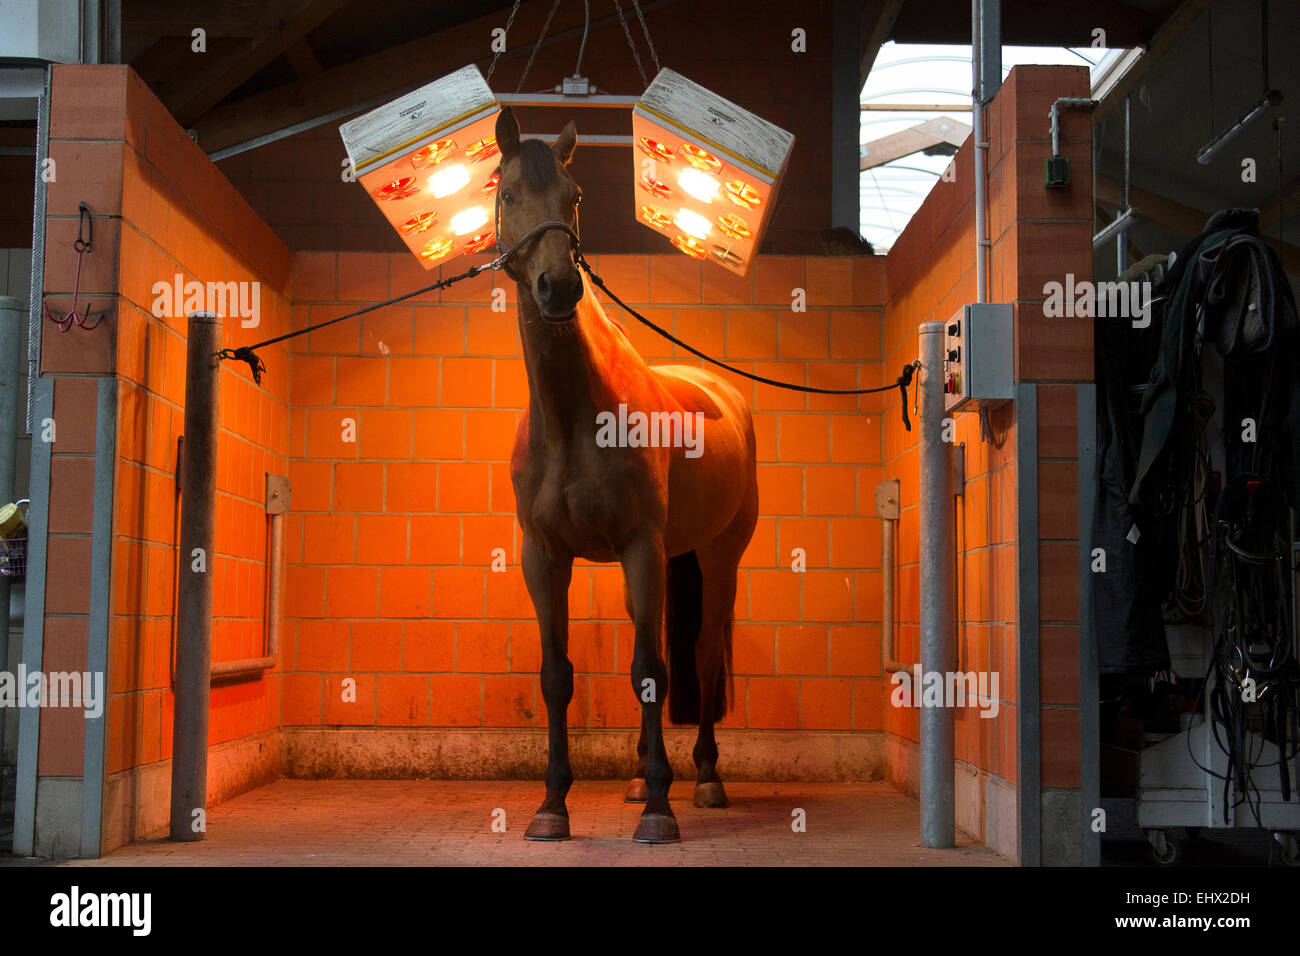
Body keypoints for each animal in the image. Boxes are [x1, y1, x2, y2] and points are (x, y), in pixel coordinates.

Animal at [492, 106, 759, 843]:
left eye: (575, 198)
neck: (574, 417)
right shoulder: (544, 557)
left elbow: (650, 670)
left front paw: (662, 813)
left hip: (717, 555)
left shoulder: (642, 546)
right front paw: (553, 805)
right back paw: (641, 776)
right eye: (507, 195)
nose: (558, 287)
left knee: (700, 654)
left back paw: (704, 779)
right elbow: (558, 676)